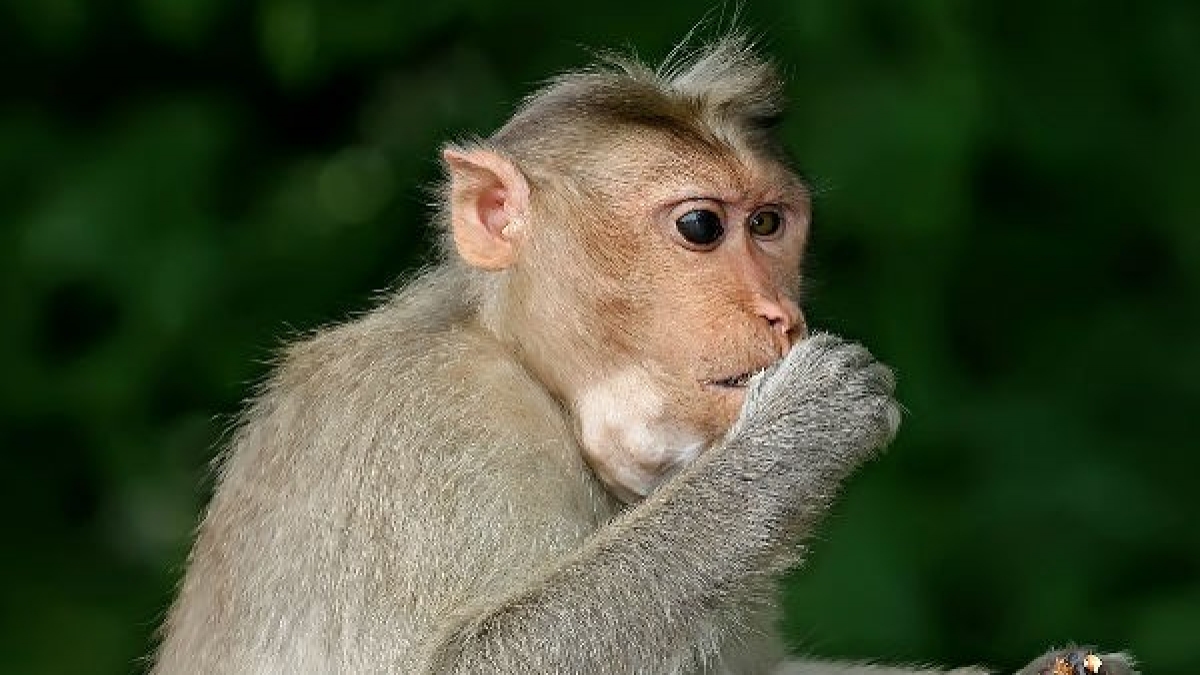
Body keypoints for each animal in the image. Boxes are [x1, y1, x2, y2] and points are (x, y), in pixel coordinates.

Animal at [150, 36, 1137, 675]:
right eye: (701, 227)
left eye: (770, 225)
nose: (782, 313)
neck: (537, 377)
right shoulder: (430, 427)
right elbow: (467, 662)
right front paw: (796, 434)